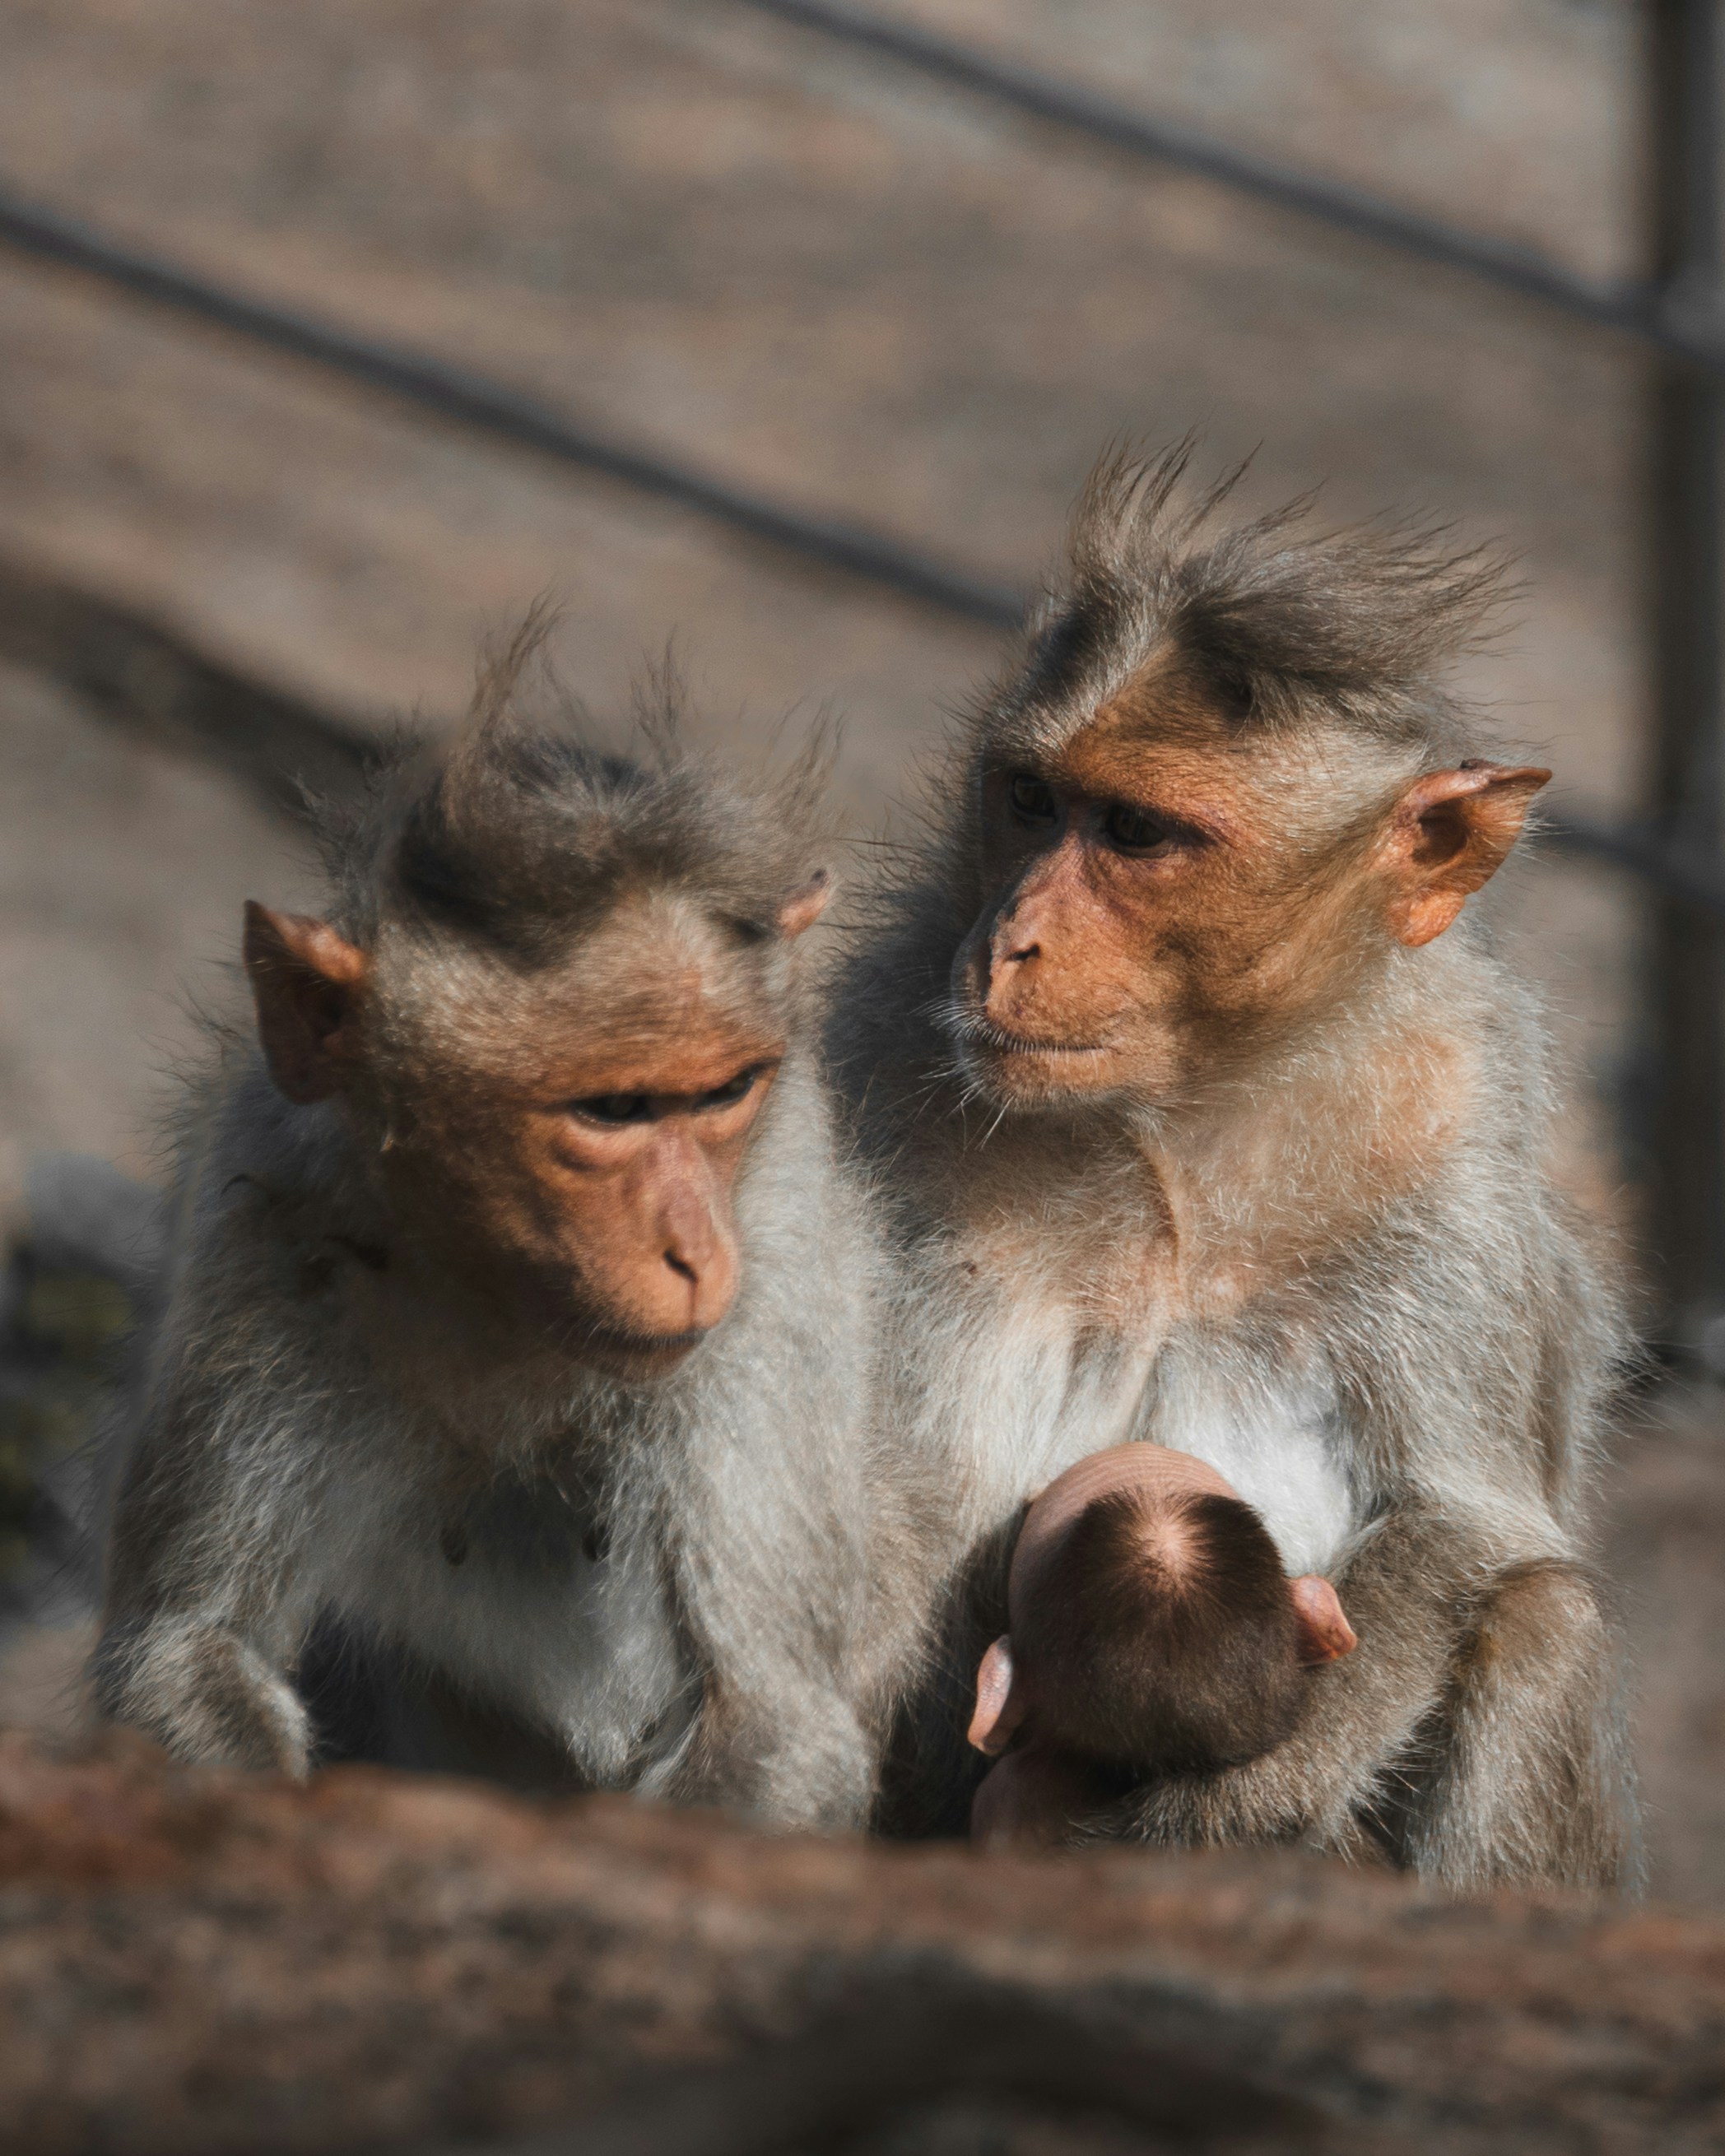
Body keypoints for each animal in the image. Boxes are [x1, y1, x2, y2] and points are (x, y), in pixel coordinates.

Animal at [89, 626, 906, 1829]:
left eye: (725, 1093)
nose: (698, 1256)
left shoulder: (779, 1231)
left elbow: (774, 1720)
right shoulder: (264, 1224)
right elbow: (187, 1648)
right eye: (612, 1110)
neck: (505, 1295)